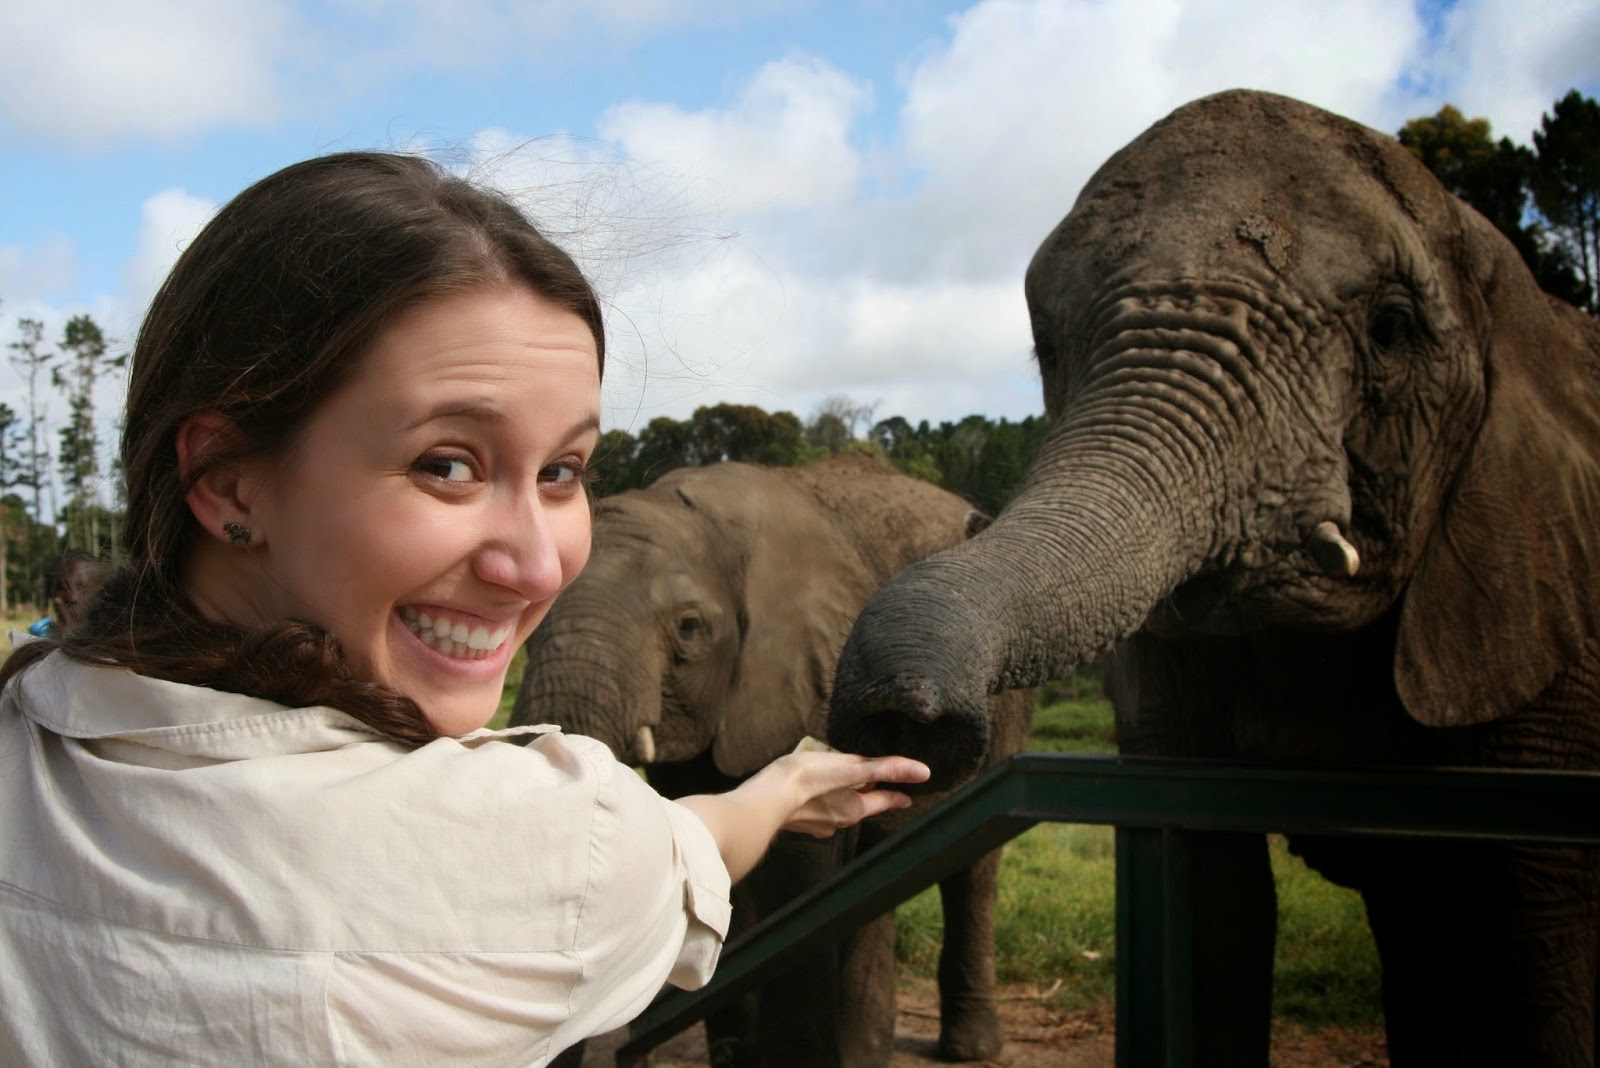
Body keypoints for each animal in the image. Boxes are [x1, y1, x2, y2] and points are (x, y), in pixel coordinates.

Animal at [511, 451, 1035, 1067]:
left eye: (690, 628)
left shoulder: (814, 670)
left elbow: (800, 870)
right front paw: (736, 1056)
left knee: (972, 868)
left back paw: (969, 1048)